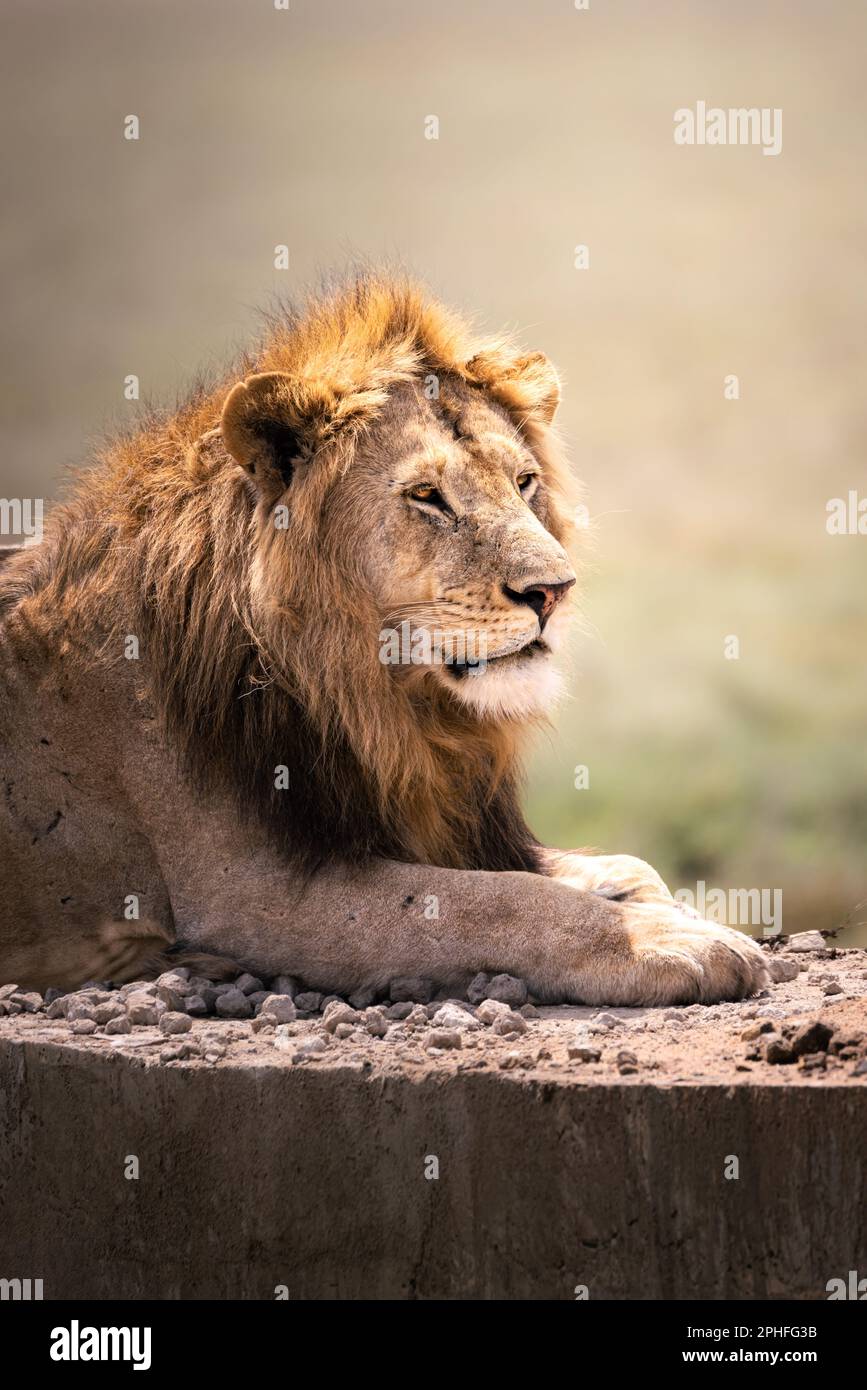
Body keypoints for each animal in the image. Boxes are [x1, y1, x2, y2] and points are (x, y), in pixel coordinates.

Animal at [0, 274, 768, 1003]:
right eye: (427, 496)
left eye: (525, 482)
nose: (554, 590)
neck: (377, 703)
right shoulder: (249, 892)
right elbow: (496, 901)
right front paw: (668, 942)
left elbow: (621, 866)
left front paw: (660, 907)